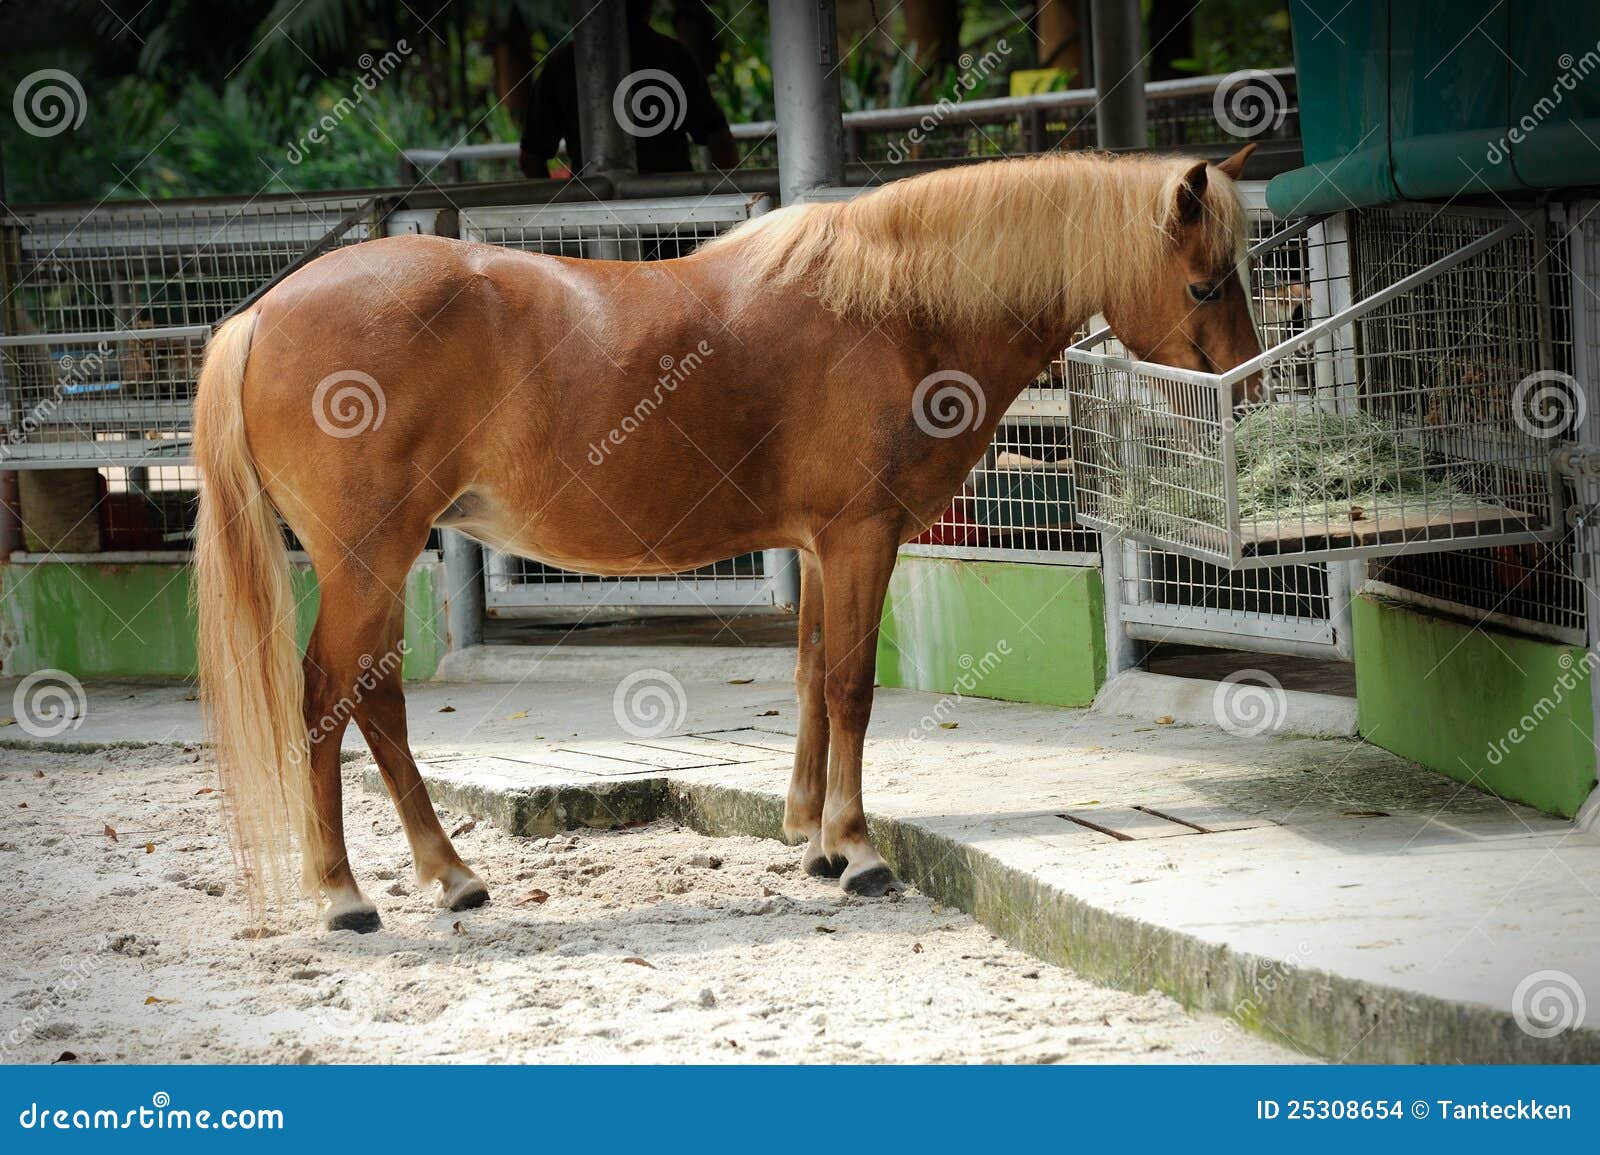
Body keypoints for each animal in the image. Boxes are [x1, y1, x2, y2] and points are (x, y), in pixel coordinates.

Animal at [194, 143, 1260, 931]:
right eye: (1207, 285)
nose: (1249, 394)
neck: (894, 309)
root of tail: (263, 314)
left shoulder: (826, 546)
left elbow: (813, 675)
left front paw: (816, 840)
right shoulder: (862, 537)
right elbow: (852, 686)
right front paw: (859, 850)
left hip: (373, 563)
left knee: (372, 704)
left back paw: (450, 875)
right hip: (365, 558)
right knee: (330, 699)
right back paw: (346, 894)